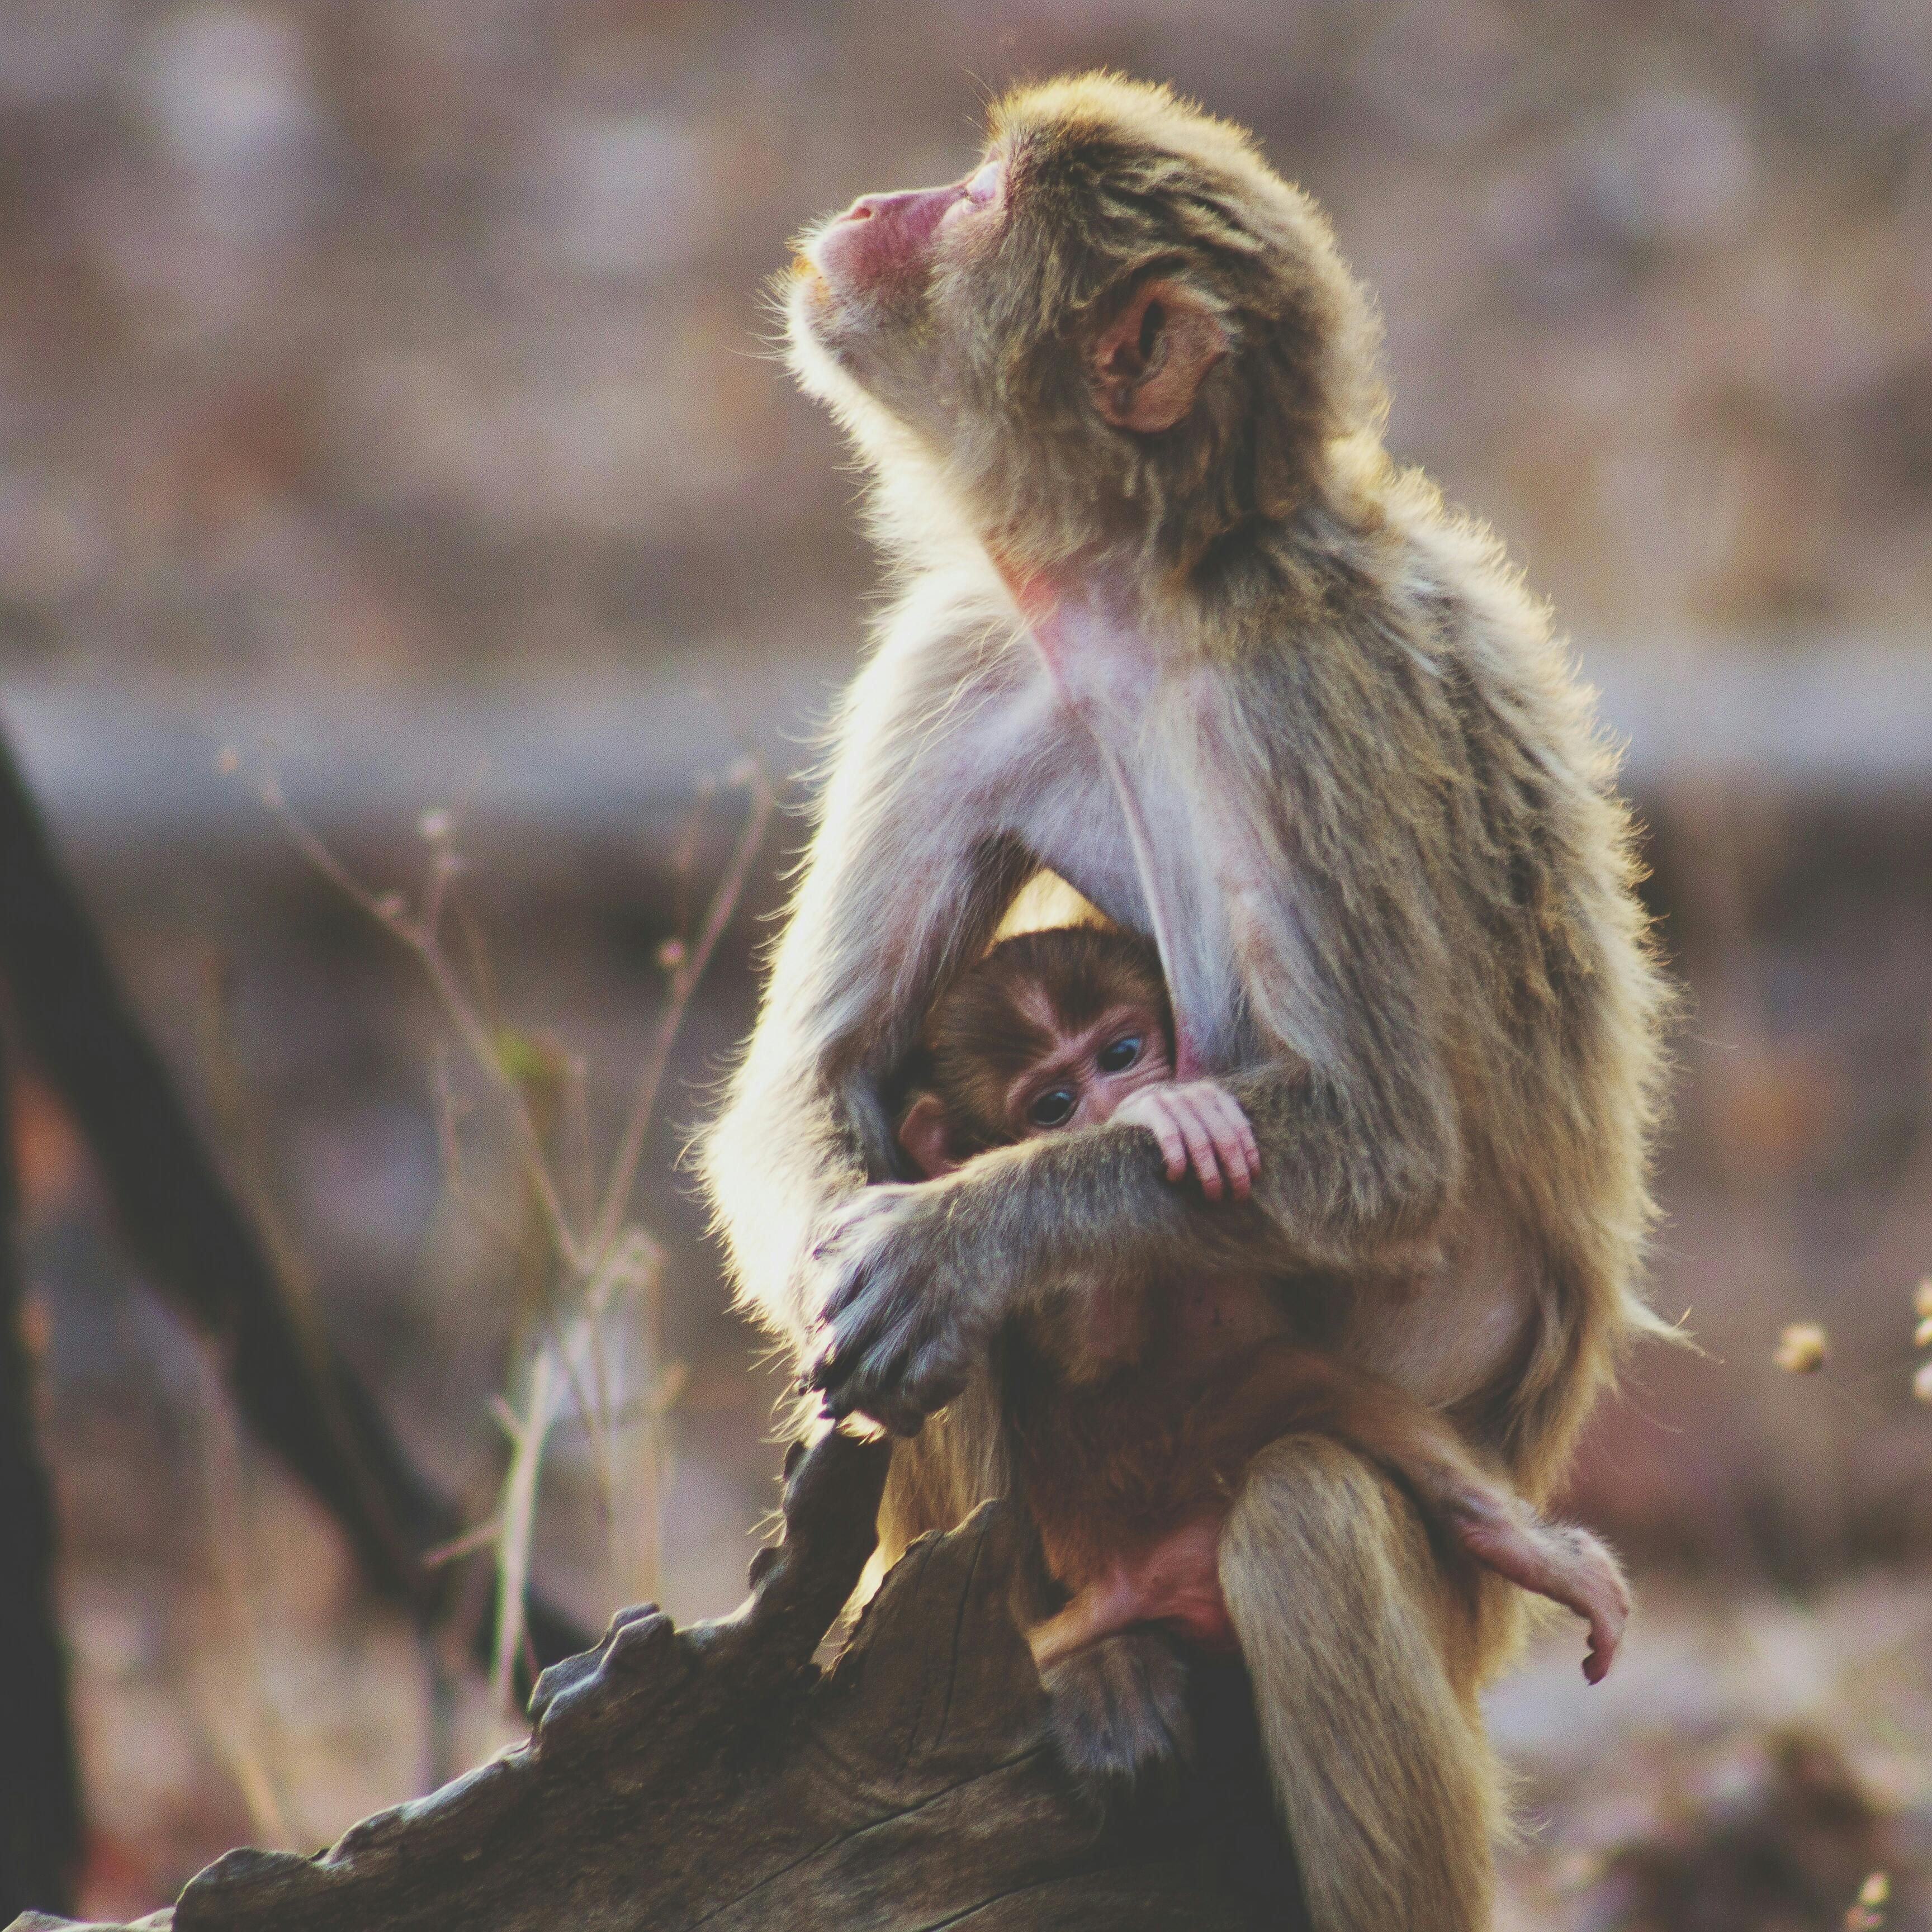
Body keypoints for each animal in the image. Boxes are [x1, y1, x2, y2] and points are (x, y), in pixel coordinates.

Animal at [895, 923, 1629, 1693]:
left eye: (1120, 1054)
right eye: (1052, 1107)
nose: (1106, 1104)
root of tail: (1119, 1573)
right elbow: (1091, 1347)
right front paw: (1157, 1114)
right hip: (1134, 1489)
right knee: (1289, 1372)